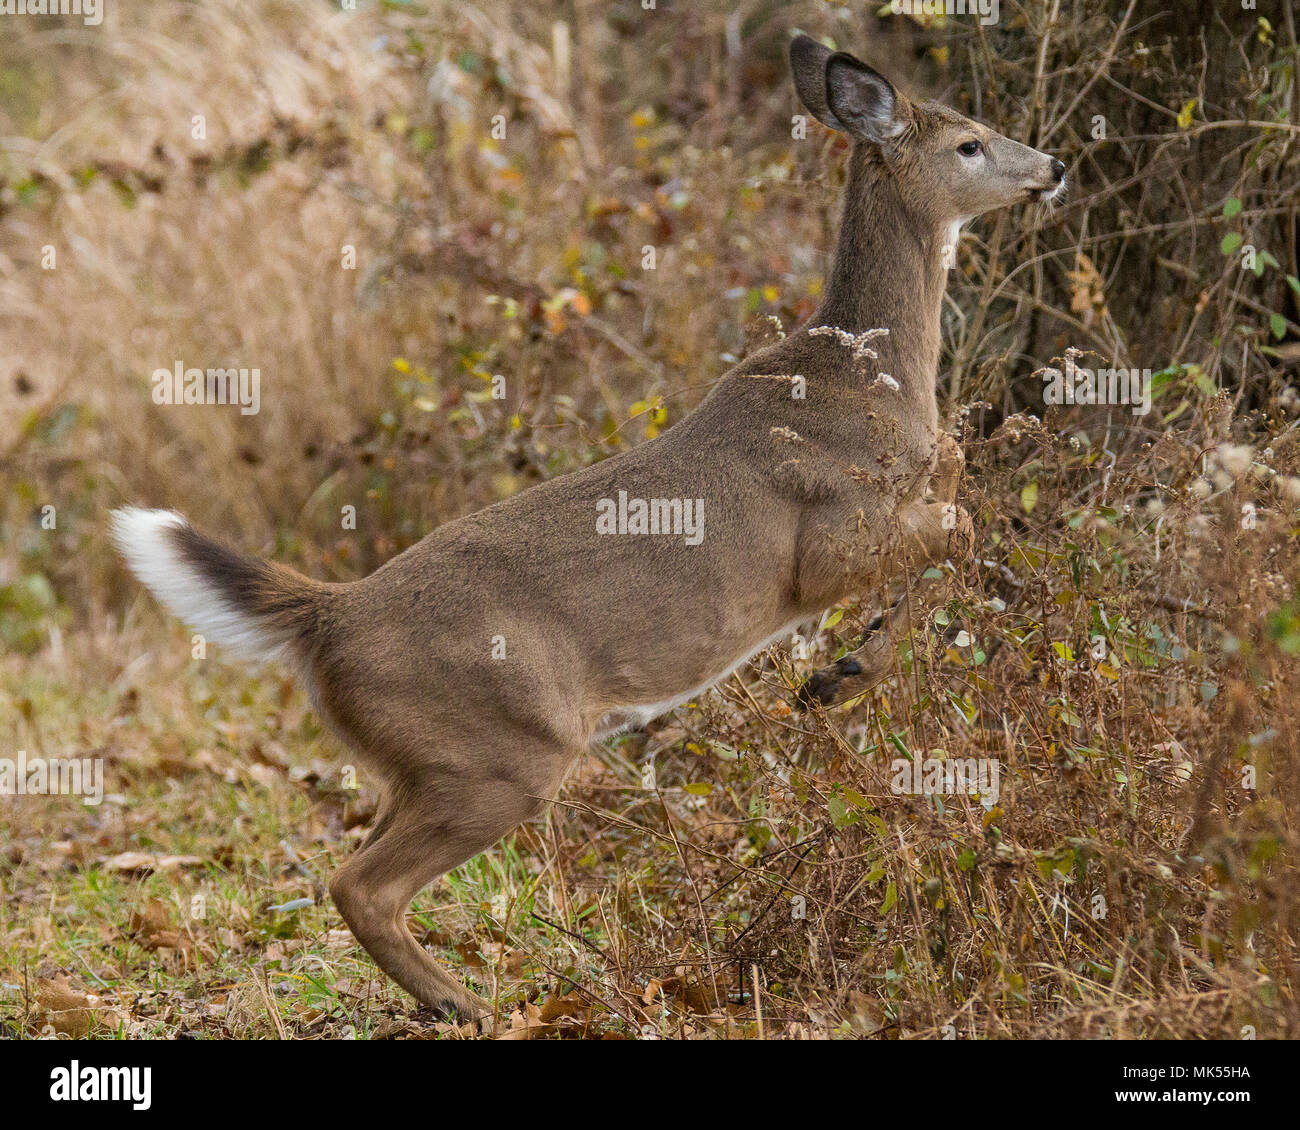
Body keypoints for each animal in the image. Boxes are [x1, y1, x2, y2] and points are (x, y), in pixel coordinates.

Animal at [111, 33, 1065, 1022]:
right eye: (970, 143)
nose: (1053, 167)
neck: (878, 376)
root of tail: (327, 618)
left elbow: (955, 489)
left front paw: (837, 672)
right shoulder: (828, 538)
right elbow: (960, 521)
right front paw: (842, 677)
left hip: (425, 762)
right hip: (502, 749)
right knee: (359, 883)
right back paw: (475, 1006)